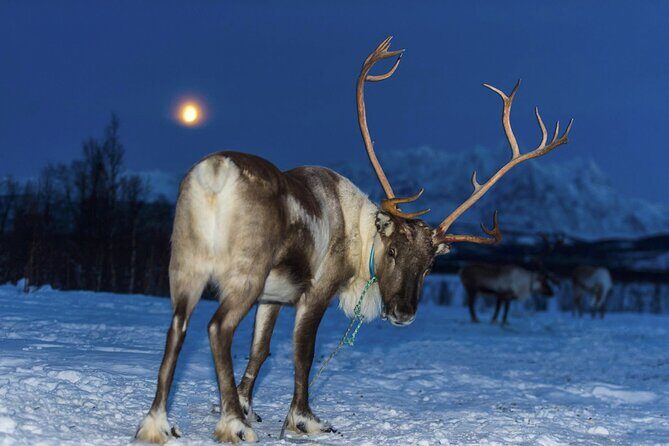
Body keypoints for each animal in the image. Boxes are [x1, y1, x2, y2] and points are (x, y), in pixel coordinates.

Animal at [135, 36, 573, 444]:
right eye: (394, 250)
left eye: (431, 265)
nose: (404, 312)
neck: (360, 234)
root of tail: (216, 174)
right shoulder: (316, 291)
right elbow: (303, 354)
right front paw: (303, 420)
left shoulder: (273, 298)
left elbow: (260, 350)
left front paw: (247, 405)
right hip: (245, 272)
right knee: (217, 329)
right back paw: (232, 426)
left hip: (185, 263)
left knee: (177, 327)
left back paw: (158, 424)